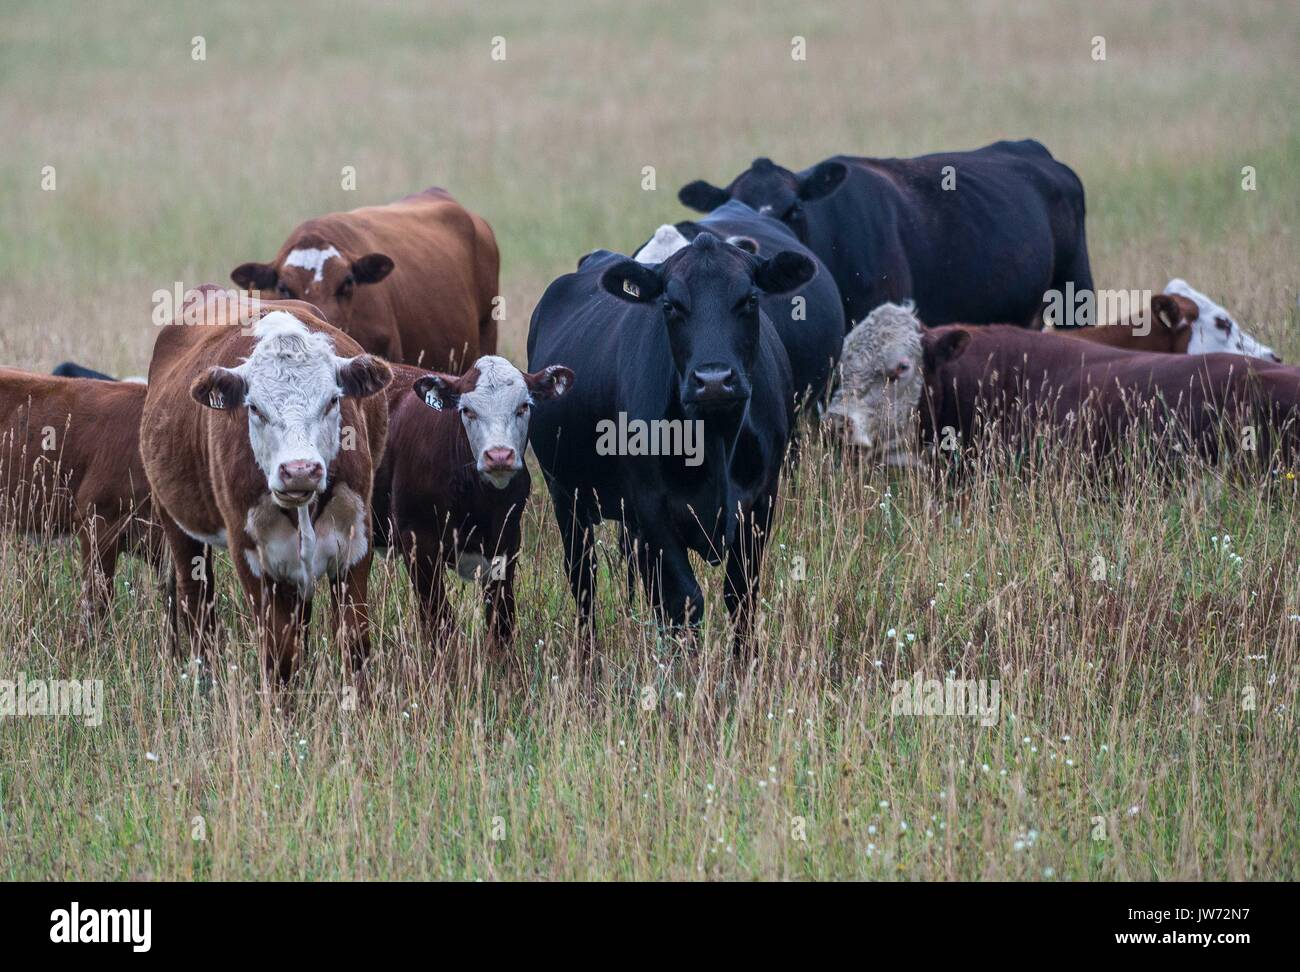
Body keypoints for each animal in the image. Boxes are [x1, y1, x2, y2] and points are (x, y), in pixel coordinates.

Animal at [140, 291, 391, 684]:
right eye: (255, 408)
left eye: (333, 400)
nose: (300, 470)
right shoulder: (255, 560)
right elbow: (280, 657)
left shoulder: (354, 547)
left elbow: (354, 646)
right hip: (176, 522)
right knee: (195, 599)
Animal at [371, 357, 573, 657]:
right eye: (467, 410)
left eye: (523, 407)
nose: (499, 455)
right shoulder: (418, 542)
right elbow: (440, 621)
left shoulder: (507, 541)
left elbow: (501, 622)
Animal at [527, 233, 813, 649]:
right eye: (670, 305)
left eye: (749, 299)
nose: (714, 380)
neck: (715, 437)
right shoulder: (652, 508)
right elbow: (684, 602)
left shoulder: (761, 501)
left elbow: (741, 594)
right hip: (566, 496)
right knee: (584, 581)